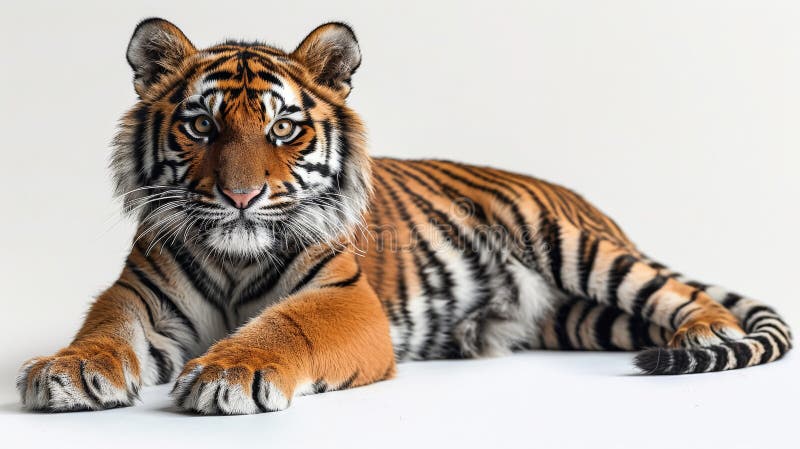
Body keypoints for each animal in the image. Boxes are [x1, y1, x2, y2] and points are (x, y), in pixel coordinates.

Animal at [17, 18, 791, 415]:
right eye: (201, 127)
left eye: (282, 129)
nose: (240, 198)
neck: (236, 256)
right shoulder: (138, 293)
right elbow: (105, 329)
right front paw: (68, 369)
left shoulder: (345, 300)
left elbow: (284, 325)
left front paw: (230, 371)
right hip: (583, 319)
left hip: (575, 245)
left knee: (686, 296)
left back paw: (703, 336)